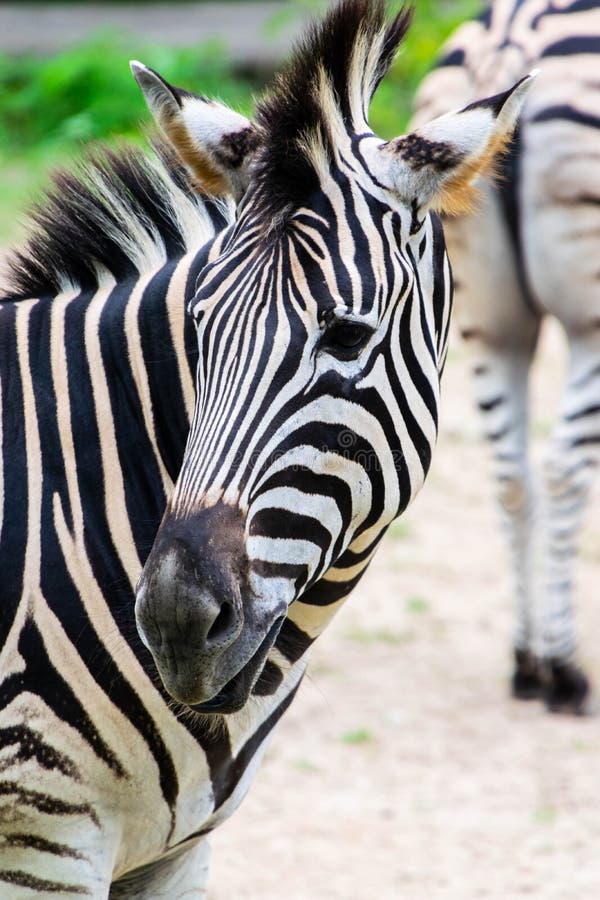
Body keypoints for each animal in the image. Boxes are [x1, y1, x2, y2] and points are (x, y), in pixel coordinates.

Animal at [412, 0, 600, 714]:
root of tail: (510, 41)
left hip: (488, 318)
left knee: (510, 474)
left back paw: (527, 662)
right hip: (589, 317)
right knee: (563, 470)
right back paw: (564, 671)